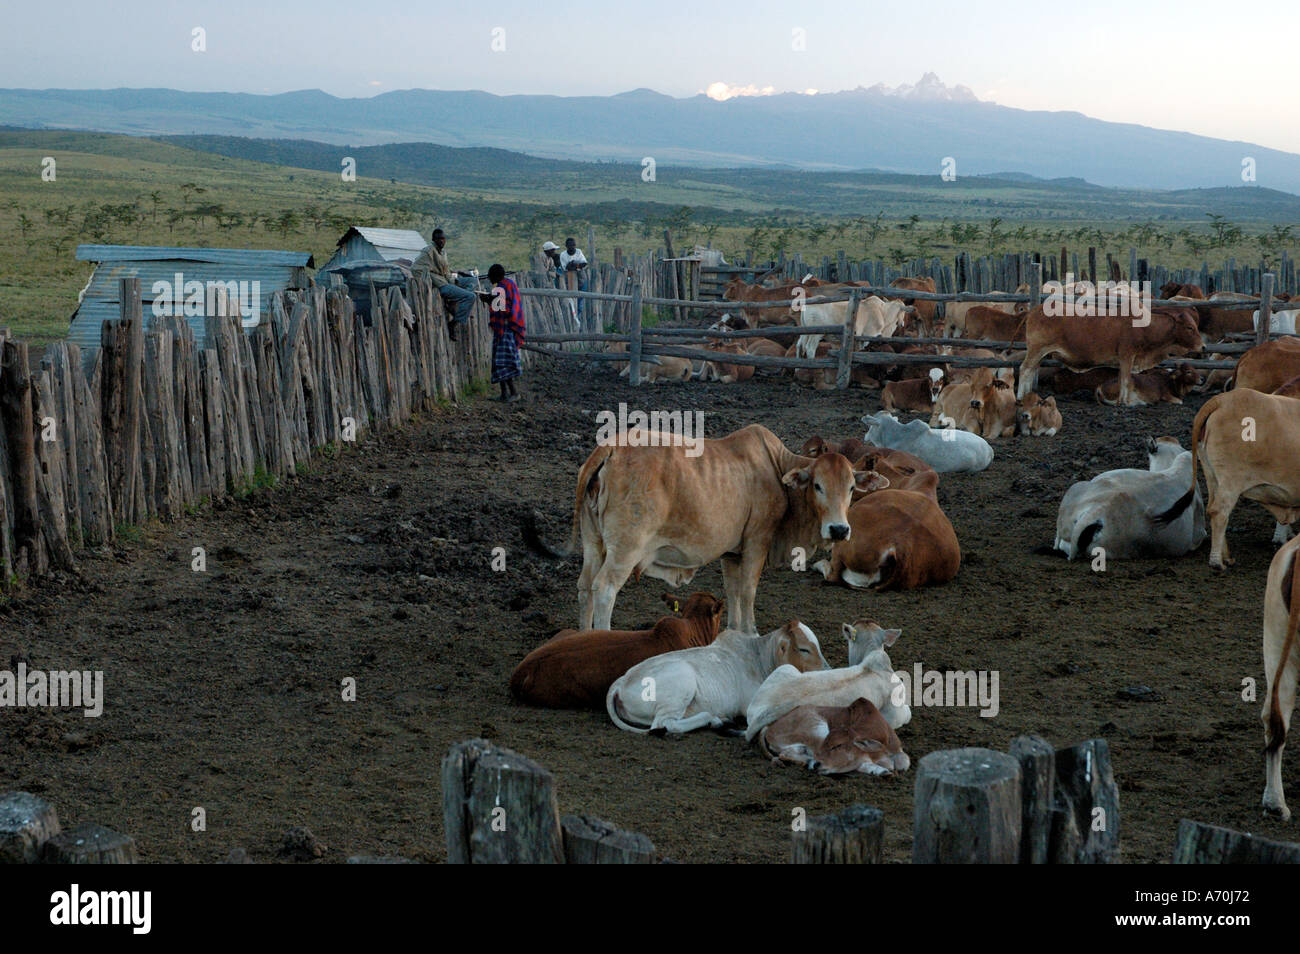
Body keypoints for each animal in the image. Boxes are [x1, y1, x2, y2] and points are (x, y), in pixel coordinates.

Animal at [571, 424, 888, 632]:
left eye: (851, 488)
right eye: (818, 485)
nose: (839, 530)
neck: (777, 468)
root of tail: (610, 449)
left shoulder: (732, 552)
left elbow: (733, 590)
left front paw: (734, 632)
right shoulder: (757, 542)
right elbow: (747, 591)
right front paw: (750, 632)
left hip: (593, 542)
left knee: (585, 586)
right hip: (626, 547)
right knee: (604, 588)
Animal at [605, 621, 828, 734]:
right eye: (804, 649)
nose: (826, 669)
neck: (760, 657)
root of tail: (621, 681)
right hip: (681, 684)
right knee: (665, 724)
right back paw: (714, 719)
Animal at [758, 697, 909, 775]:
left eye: (838, 745)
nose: (818, 764)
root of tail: (770, 726)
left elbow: (904, 763)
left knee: (786, 753)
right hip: (817, 727)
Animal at [1017, 303, 1203, 404]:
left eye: (1195, 325)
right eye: (1189, 327)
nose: (1203, 347)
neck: (1144, 326)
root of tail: (1034, 310)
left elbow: (1122, 379)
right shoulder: (1127, 356)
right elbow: (1126, 380)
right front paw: (1125, 402)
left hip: (1039, 353)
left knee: (1031, 371)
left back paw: (1028, 395)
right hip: (1036, 349)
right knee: (1025, 370)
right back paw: (1020, 397)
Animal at [1188, 389, 1300, 568]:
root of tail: (1221, 400)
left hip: (1212, 476)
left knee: (1212, 509)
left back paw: (1226, 556)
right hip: (1230, 480)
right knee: (1219, 512)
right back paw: (1217, 562)